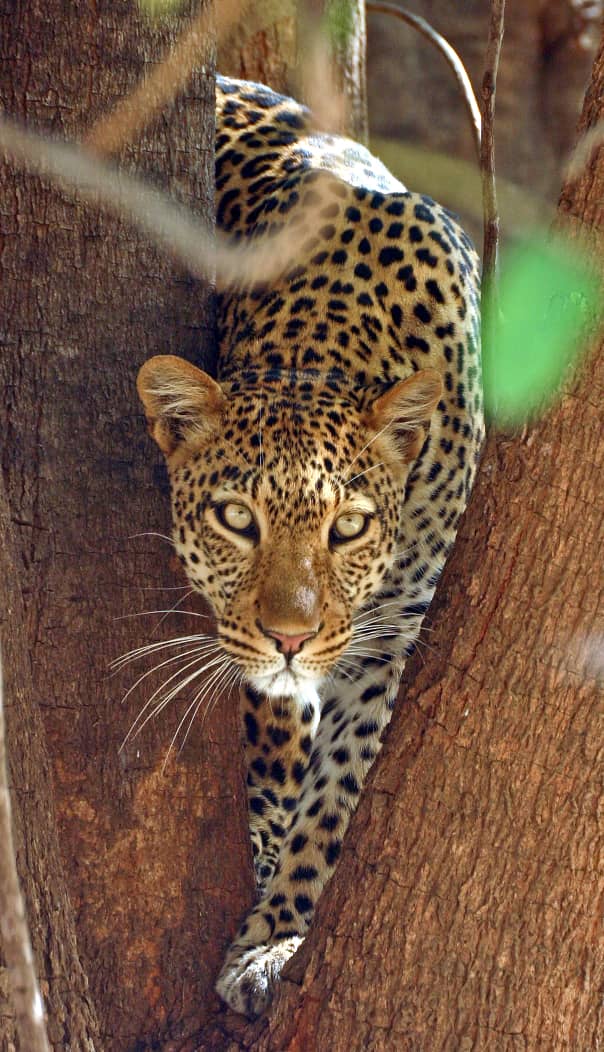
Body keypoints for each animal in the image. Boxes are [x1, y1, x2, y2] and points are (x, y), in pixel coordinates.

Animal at [136, 74, 483, 1018]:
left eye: (349, 527)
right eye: (236, 519)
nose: (290, 638)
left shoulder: (387, 638)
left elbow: (334, 799)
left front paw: (278, 935)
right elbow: (278, 744)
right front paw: (265, 862)